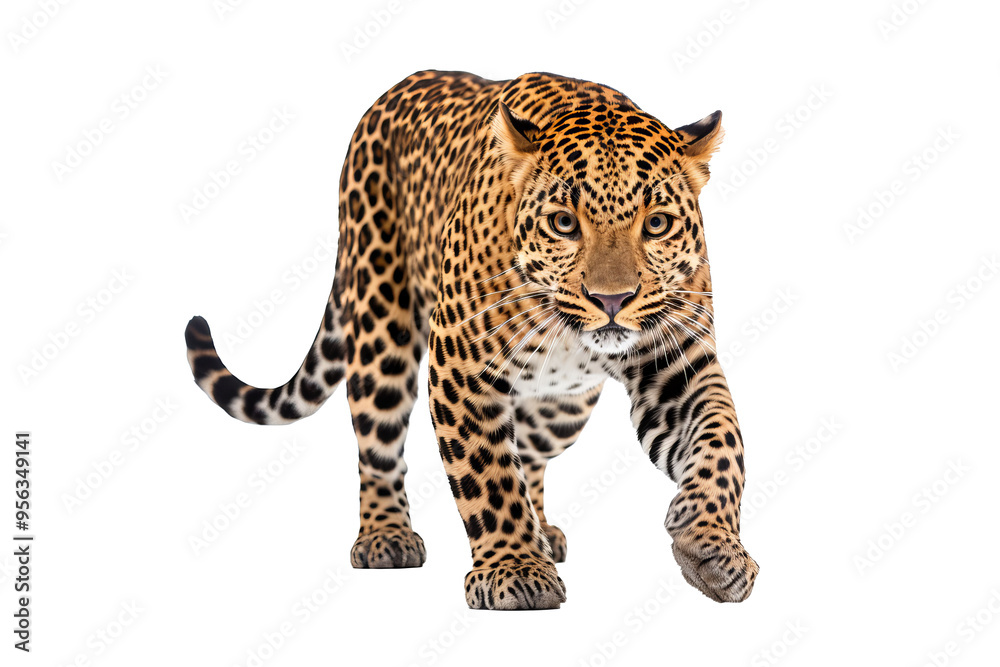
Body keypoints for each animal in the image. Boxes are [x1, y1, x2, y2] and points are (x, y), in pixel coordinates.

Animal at [184, 70, 759, 609]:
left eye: (657, 224)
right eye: (564, 223)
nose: (612, 299)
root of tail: (398, 88)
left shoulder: (677, 364)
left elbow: (722, 440)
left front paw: (712, 544)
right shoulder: (461, 366)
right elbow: (488, 474)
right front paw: (514, 569)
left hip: (563, 410)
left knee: (531, 451)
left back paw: (543, 529)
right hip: (379, 318)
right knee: (377, 438)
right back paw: (385, 536)